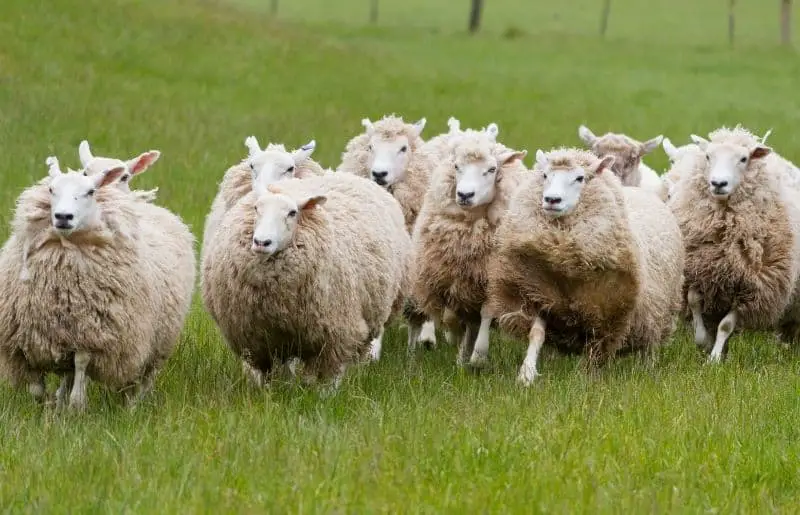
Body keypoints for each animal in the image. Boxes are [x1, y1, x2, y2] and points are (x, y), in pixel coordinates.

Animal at [0, 156, 196, 410]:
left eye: (90, 191)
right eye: (51, 189)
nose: (63, 217)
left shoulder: (92, 333)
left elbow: (82, 364)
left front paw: (77, 405)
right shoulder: (22, 339)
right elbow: (36, 388)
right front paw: (49, 407)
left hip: (159, 340)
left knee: (144, 378)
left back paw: (131, 406)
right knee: (68, 374)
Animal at [201, 171, 411, 389]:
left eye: (292, 213)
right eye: (257, 208)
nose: (261, 242)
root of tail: (344, 174)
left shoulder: (337, 331)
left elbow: (331, 375)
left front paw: (326, 393)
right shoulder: (262, 338)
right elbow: (273, 373)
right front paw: (274, 390)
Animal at [410, 124, 527, 367]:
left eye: (492, 169)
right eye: (456, 166)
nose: (465, 195)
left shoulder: (493, 281)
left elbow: (487, 314)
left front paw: (479, 357)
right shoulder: (449, 280)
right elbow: (450, 316)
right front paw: (454, 336)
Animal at [486, 147, 684, 385]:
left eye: (580, 178)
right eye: (544, 175)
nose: (551, 200)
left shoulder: (606, 308)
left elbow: (596, 349)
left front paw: (586, 379)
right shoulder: (541, 294)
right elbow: (536, 334)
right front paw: (526, 374)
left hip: (658, 307)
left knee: (651, 344)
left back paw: (647, 369)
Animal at [669, 126, 800, 363]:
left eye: (743, 158)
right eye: (708, 156)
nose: (718, 184)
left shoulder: (753, 287)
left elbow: (726, 325)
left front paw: (713, 359)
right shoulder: (699, 274)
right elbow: (694, 303)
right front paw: (704, 342)